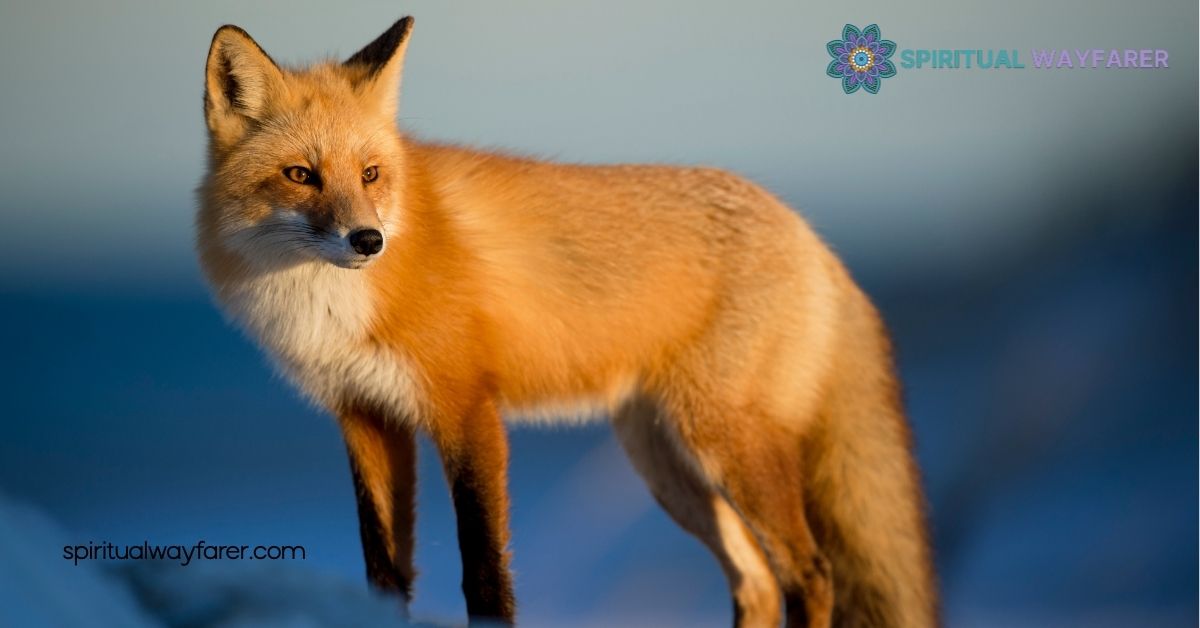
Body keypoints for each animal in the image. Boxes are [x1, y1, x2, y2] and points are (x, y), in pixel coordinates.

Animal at [197, 16, 937, 628]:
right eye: (301, 175)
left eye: (371, 174)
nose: (368, 240)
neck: (330, 305)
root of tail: (811, 235)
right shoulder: (365, 416)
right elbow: (383, 571)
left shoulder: (467, 410)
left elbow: (484, 573)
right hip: (668, 466)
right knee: (755, 581)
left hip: (726, 445)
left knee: (810, 573)